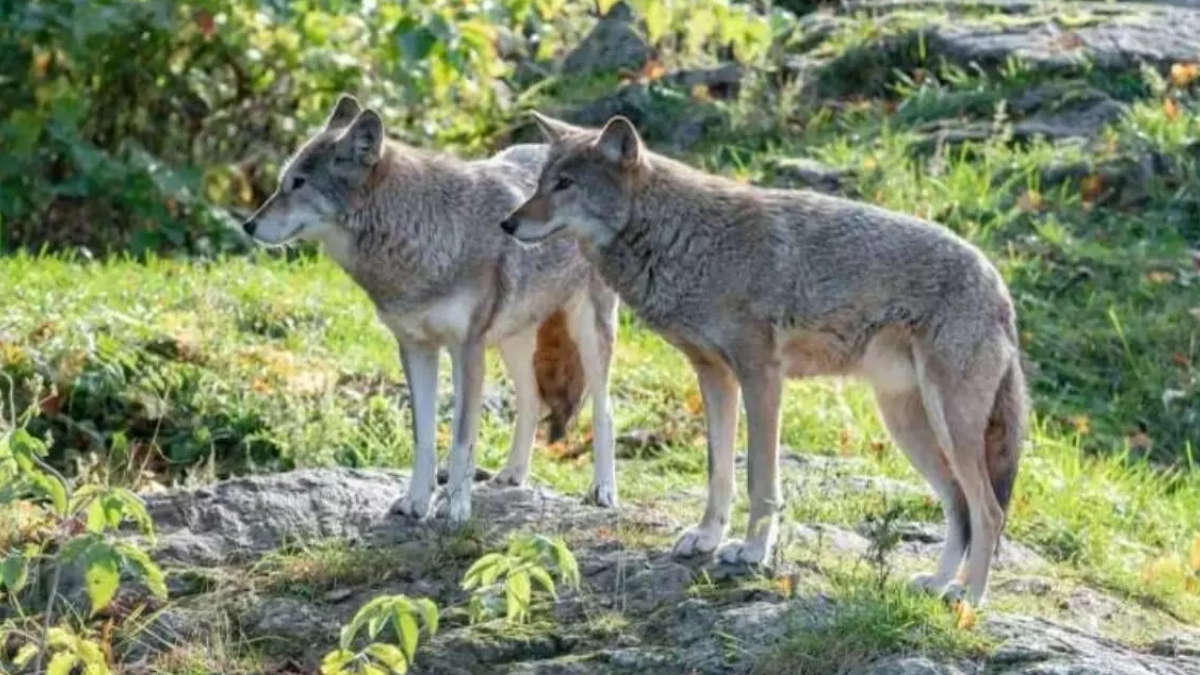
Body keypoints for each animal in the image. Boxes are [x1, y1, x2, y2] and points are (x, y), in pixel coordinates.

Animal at [241, 96, 620, 524]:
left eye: (299, 183)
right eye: (282, 182)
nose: (248, 225)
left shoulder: (467, 349)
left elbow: (461, 437)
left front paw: (455, 505)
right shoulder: (415, 348)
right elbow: (423, 436)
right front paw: (416, 502)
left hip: (588, 333)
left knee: (604, 410)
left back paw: (603, 491)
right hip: (513, 340)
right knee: (532, 400)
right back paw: (511, 476)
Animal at [501, 113, 1027, 605]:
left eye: (565, 184)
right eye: (541, 182)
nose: (508, 224)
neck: (687, 239)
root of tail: (1001, 287)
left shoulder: (762, 377)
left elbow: (759, 477)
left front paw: (752, 552)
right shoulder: (714, 377)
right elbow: (719, 472)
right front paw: (707, 538)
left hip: (948, 426)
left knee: (989, 510)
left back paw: (969, 599)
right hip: (907, 426)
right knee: (959, 505)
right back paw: (936, 584)